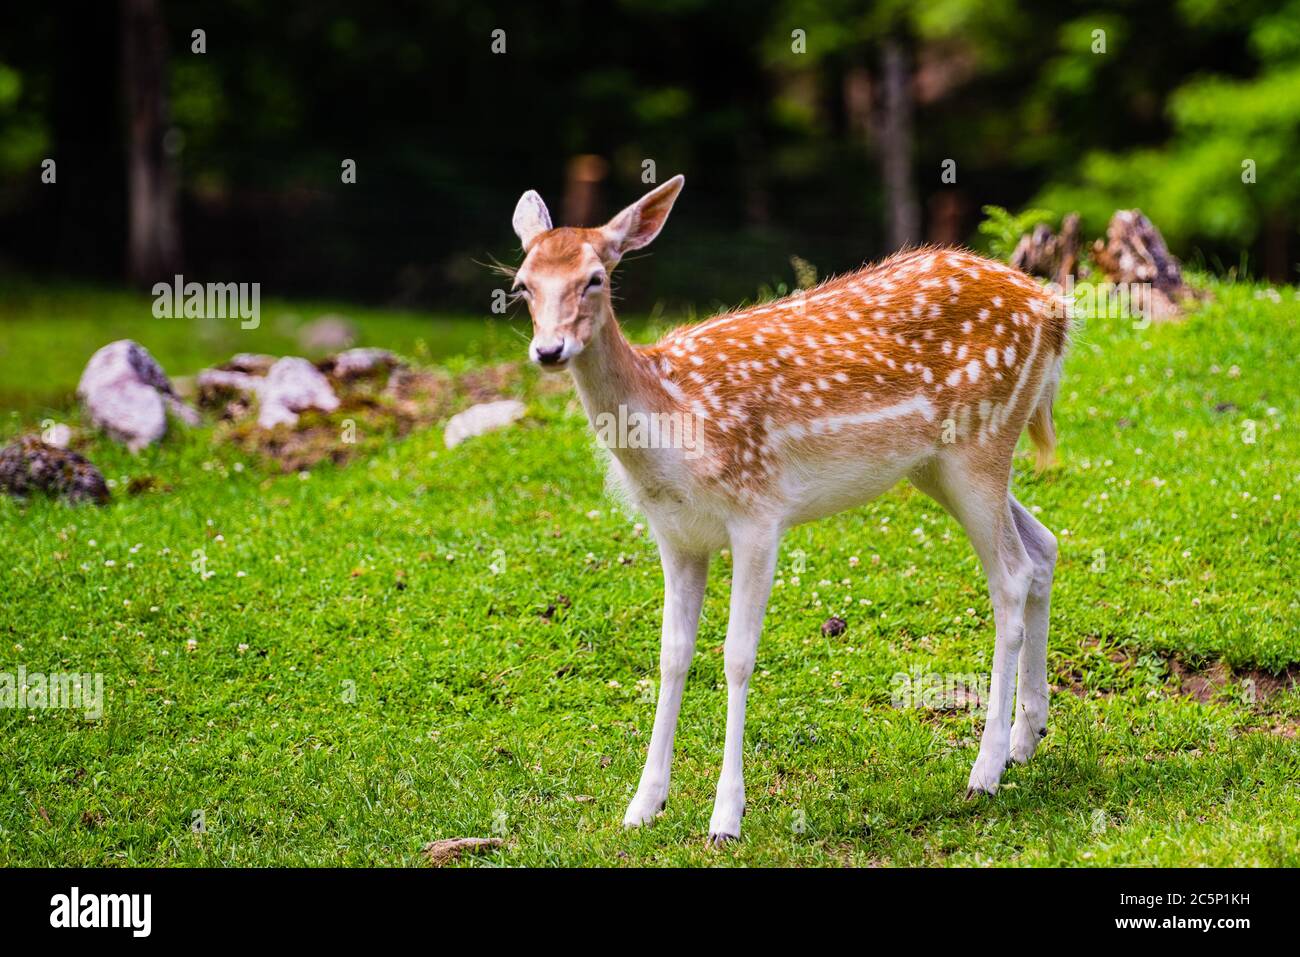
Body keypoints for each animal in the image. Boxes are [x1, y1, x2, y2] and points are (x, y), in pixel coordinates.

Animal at [509, 175, 1068, 844]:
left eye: (595, 276)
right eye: (522, 282)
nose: (549, 349)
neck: (674, 425)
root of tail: (1057, 311)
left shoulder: (759, 512)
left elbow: (737, 656)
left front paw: (726, 817)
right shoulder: (675, 534)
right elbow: (672, 656)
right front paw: (643, 805)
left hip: (981, 442)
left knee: (1011, 575)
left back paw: (985, 770)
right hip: (938, 466)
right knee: (1044, 546)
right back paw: (1026, 738)